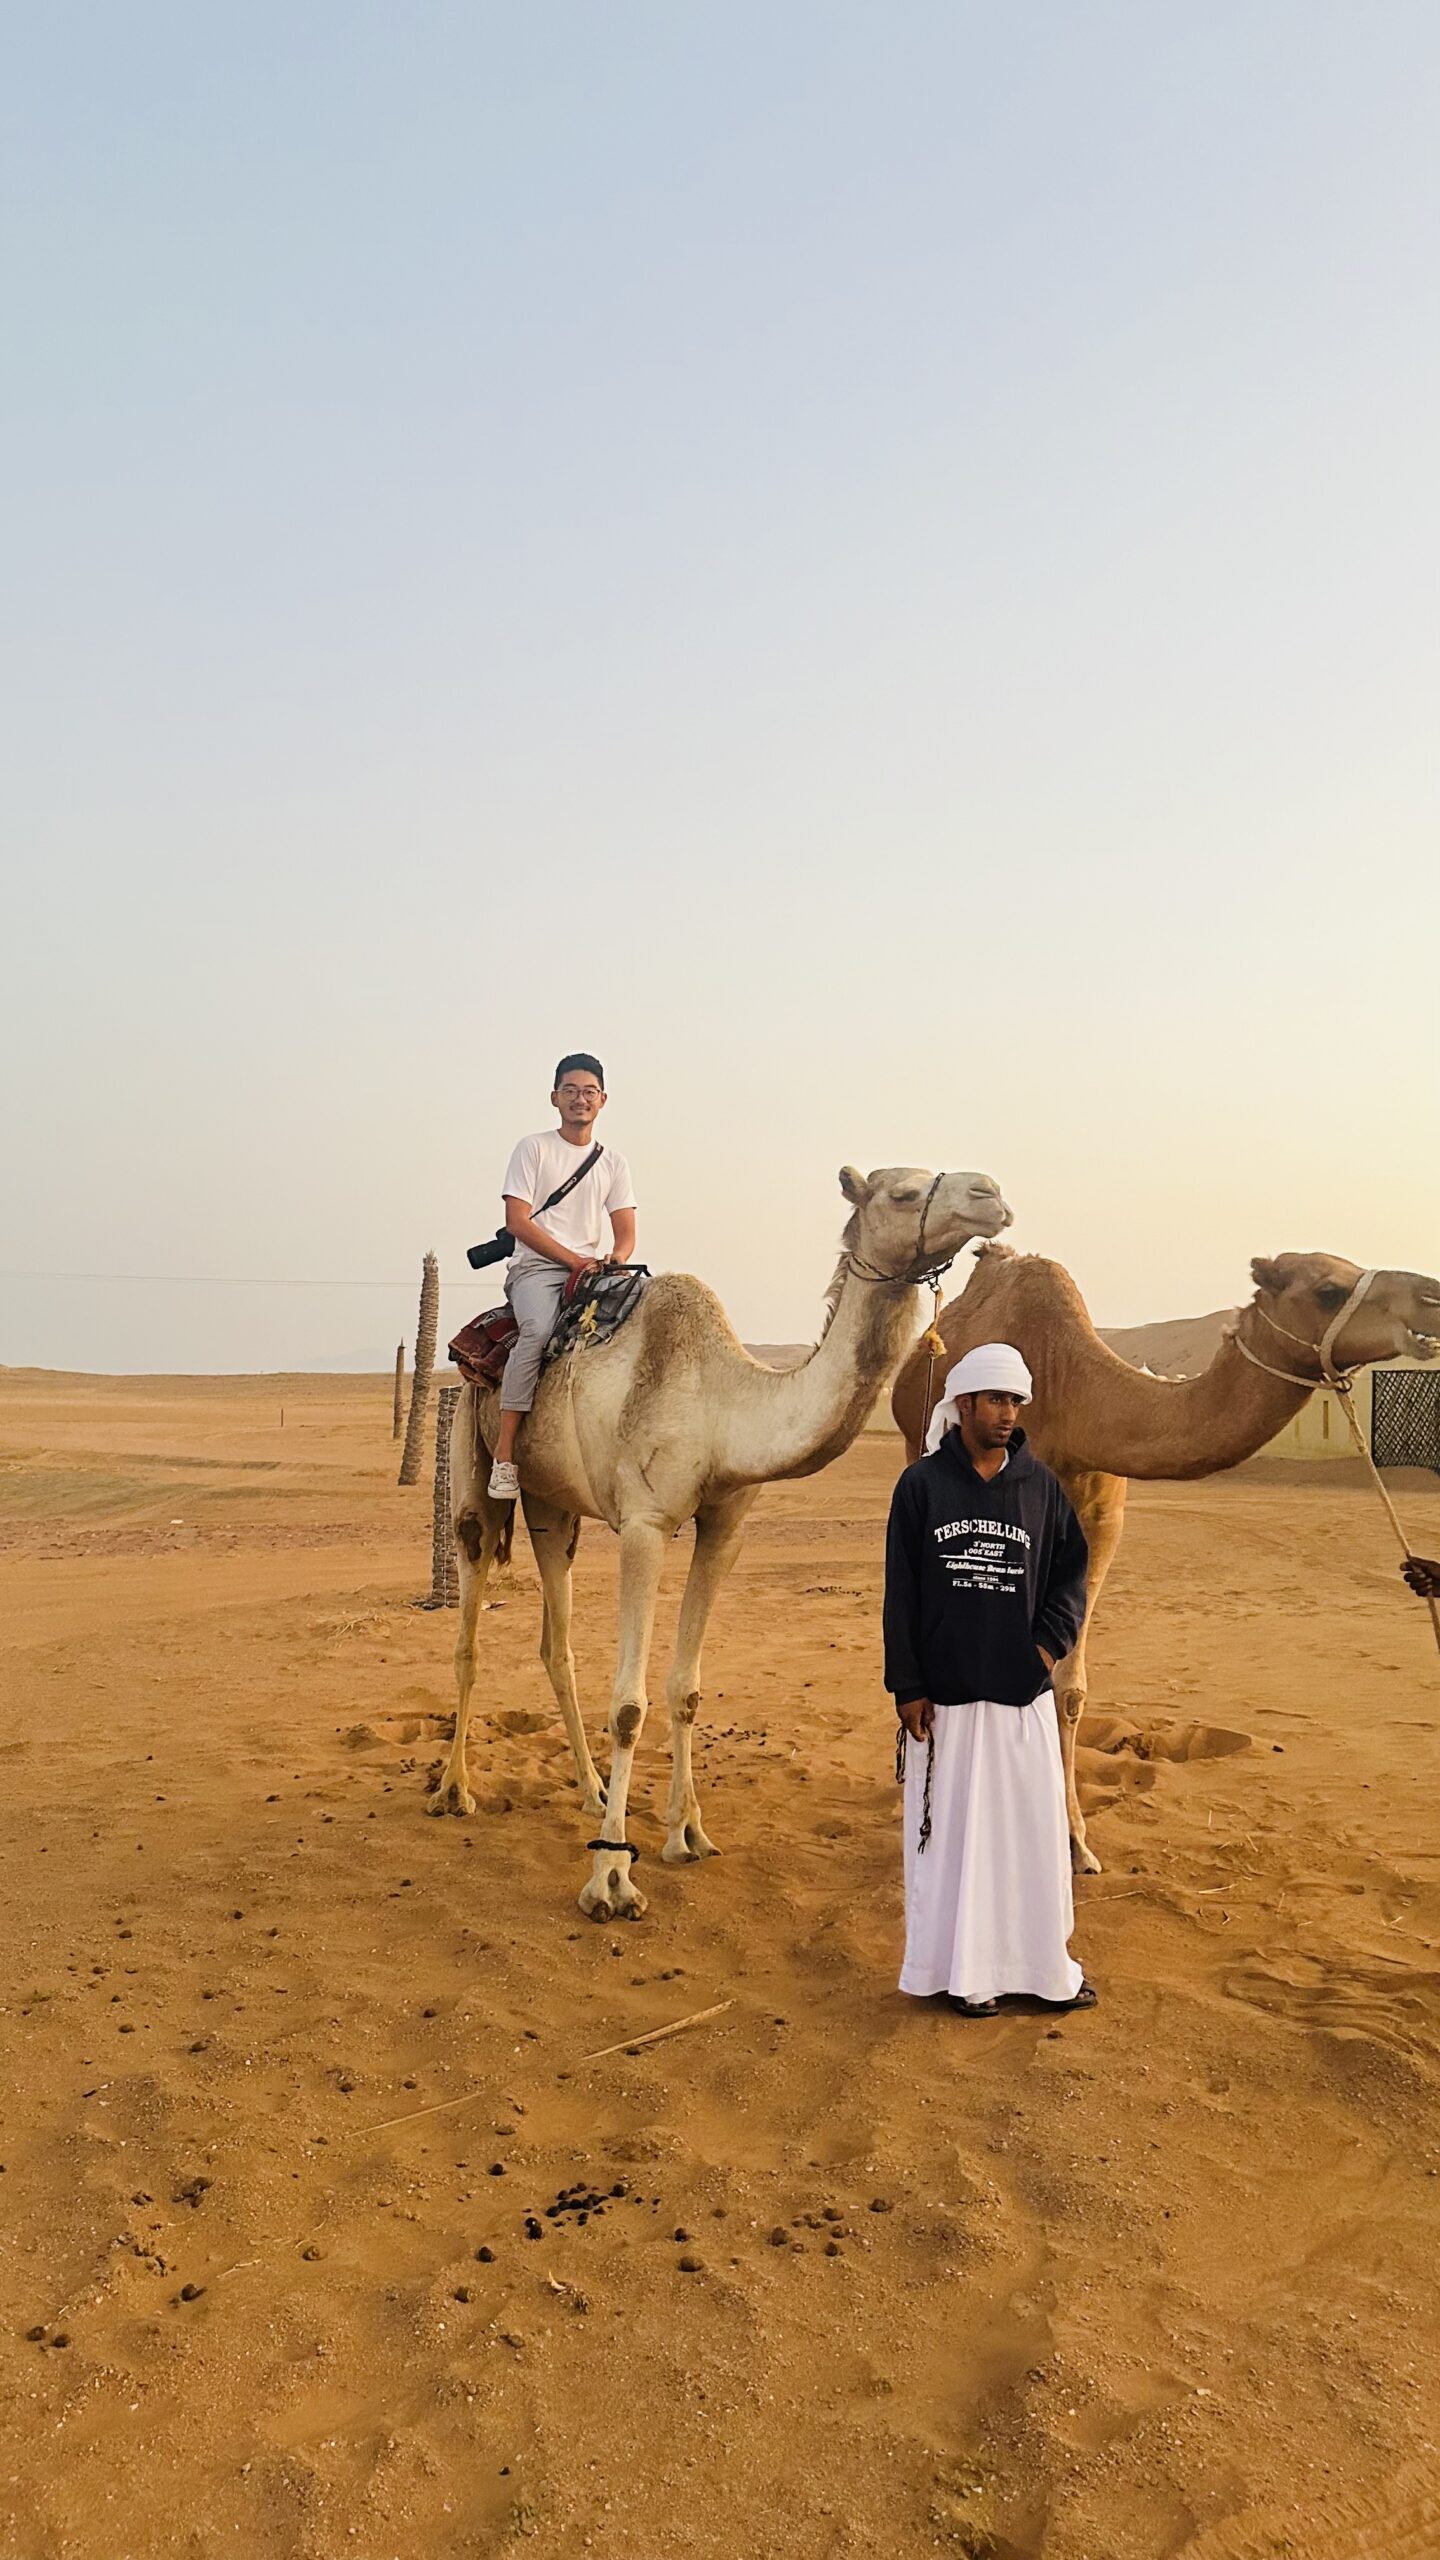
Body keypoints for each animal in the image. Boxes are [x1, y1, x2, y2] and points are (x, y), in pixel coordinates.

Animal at [432, 1164, 1012, 1918]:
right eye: (903, 1193)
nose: (991, 1194)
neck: (723, 1406)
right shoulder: (645, 1524)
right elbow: (630, 1706)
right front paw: (611, 1878)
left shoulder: (726, 1527)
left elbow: (686, 1689)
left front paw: (687, 1834)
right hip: (474, 1463)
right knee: (470, 1631)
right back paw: (456, 1790)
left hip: (553, 1507)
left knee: (555, 1645)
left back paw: (589, 1790)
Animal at [892, 1244, 1440, 1873]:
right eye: (1329, 1290)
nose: (1433, 1298)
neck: (1073, 1397)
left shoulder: (1102, 1519)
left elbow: (1068, 1686)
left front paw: (1075, 1843)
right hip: (913, 1447)